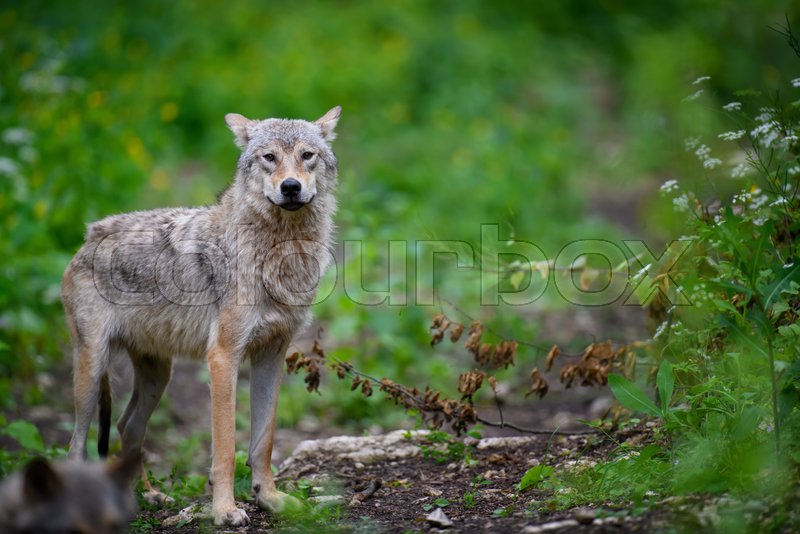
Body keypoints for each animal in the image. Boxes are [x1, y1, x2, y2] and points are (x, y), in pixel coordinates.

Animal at [61, 106, 342, 525]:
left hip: (159, 375)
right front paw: (224, 510)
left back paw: (143, 497)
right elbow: (225, 447)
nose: (290, 187)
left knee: (128, 426)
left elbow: (264, 442)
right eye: (269, 157)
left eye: (307, 155)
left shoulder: (271, 355)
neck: (278, 253)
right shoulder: (223, 357)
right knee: (77, 445)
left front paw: (269, 498)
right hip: (92, 372)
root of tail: (89, 236)